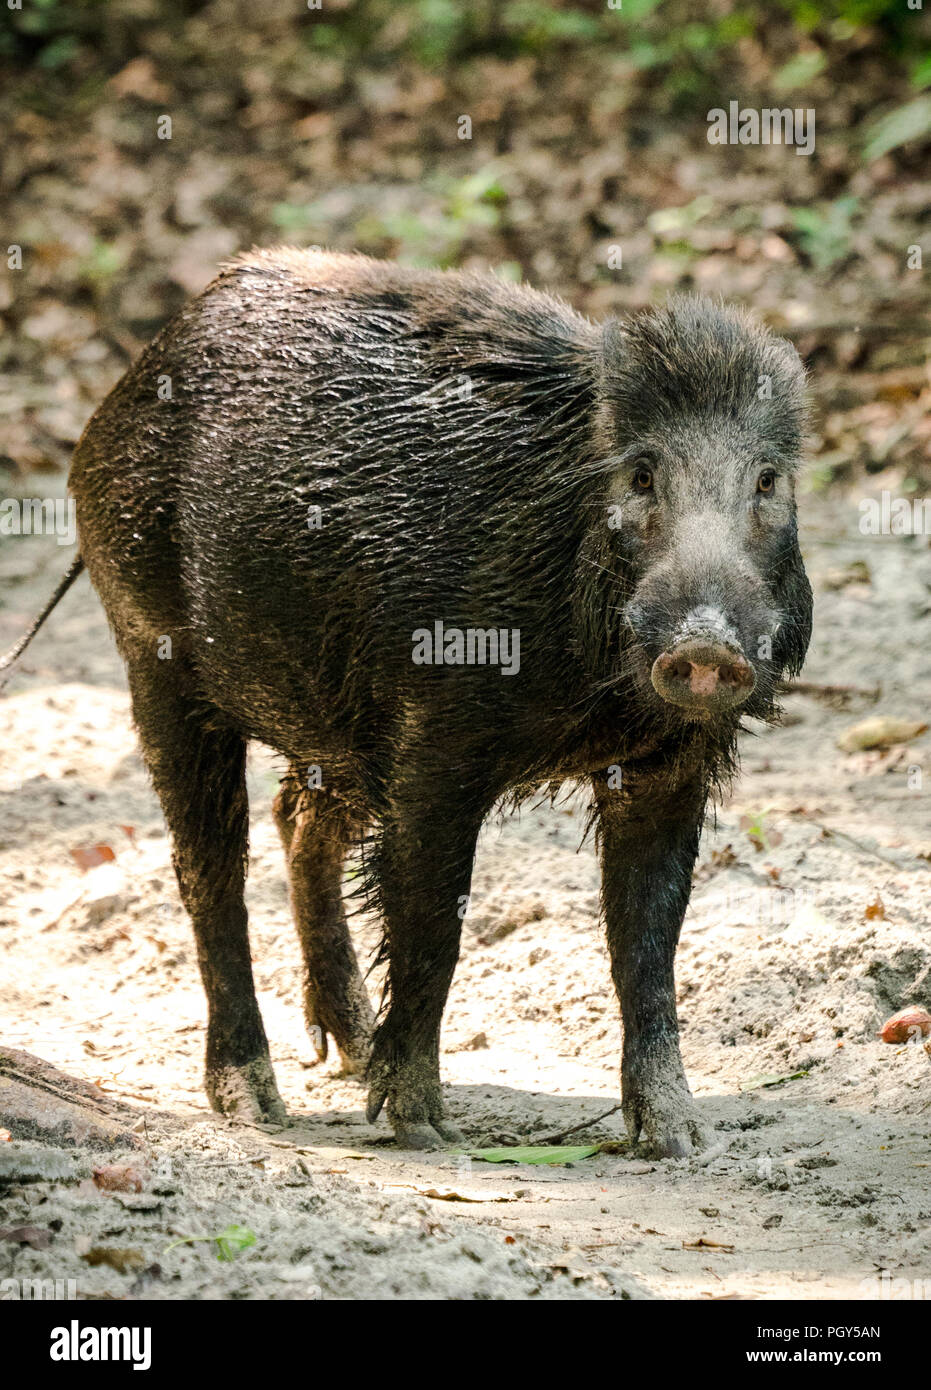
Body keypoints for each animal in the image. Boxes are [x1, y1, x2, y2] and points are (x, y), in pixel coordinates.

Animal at [17, 250, 813, 1155]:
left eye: (766, 480)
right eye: (641, 474)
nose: (705, 646)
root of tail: (126, 385)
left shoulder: (665, 768)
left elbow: (648, 947)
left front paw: (678, 1138)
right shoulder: (436, 738)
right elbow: (433, 922)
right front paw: (422, 1127)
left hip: (338, 727)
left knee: (296, 818)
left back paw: (351, 1051)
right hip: (155, 661)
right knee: (207, 871)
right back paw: (256, 1103)